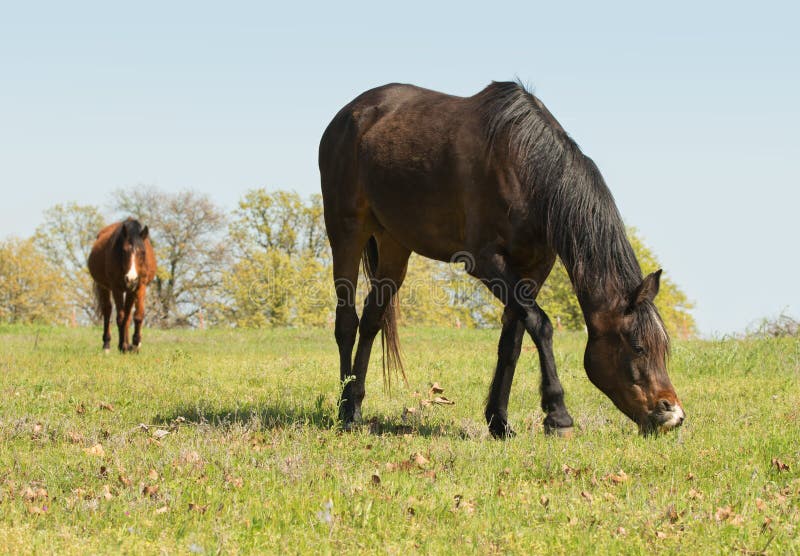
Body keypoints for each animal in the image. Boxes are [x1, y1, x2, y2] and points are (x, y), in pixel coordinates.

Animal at [87, 218, 156, 353]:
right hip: (103, 287)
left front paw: (135, 344)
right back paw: (107, 344)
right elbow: (120, 317)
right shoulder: (116, 288)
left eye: (143, 252)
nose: (131, 279)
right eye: (124, 251)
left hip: (130, 290)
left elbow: (137, 315)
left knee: (128, 316)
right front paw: (122, 345)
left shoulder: (140, 286)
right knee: (108, 310)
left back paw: (128, 344)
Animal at [319, 81, 685, 437]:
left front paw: (499, 421)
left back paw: (356, 403)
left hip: (394, 244)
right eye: (638, 347)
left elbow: (513, 339)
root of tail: (348, 115)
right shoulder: (486, 262)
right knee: (347, 322)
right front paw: (558, 415)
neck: (523, 166)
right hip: (347, 232)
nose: (673, 414)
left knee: (372, 318)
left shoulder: (534, 268)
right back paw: (345, 411)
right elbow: (541, 325)